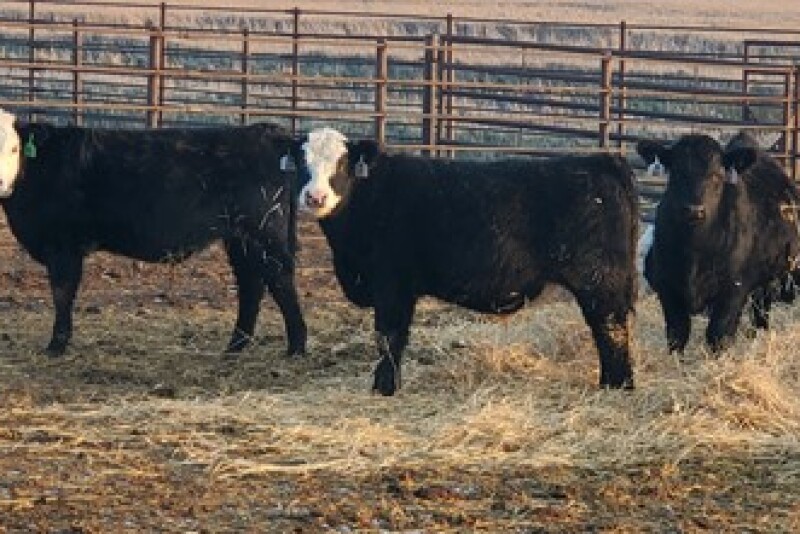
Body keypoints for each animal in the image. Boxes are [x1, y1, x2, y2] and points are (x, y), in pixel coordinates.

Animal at [0, 108, 306, 357]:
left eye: (14, 149)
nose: (1, 181)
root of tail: (270, 132)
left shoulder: (63, 245)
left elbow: (62, 294)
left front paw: (56, 345)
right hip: (239, 238)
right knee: (251, 283)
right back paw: (235, 347)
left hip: (262, 233)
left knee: (279, 279)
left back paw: (296, 347)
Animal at [289, 127, 639, 396]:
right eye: (301, 163)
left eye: (342, 163)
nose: (315, 197)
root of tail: (602, 160)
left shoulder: (391, 284)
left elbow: (388, 336)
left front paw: (383, 388)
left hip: (598, 279)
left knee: (610, 328)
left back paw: (616, 386)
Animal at [637, 132, 800, 353]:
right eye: (676, 173)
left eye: (716, 175)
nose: (694, 210)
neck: (694, 252)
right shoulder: (667, 289)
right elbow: (677, 336)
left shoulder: (733, 291)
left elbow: (718, 335)